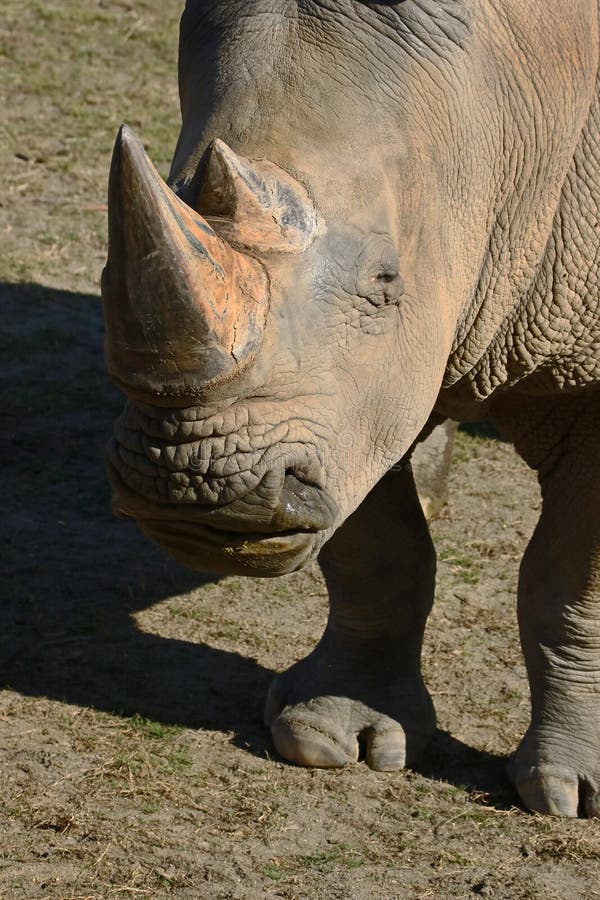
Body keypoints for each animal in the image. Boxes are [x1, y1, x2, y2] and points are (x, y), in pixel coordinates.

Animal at [102, 0, 600, 818]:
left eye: (385, 282)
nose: (194, 485)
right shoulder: (346, 401)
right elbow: (374, 543)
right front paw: (339, 739)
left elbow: (570, 576)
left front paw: (569, 797)